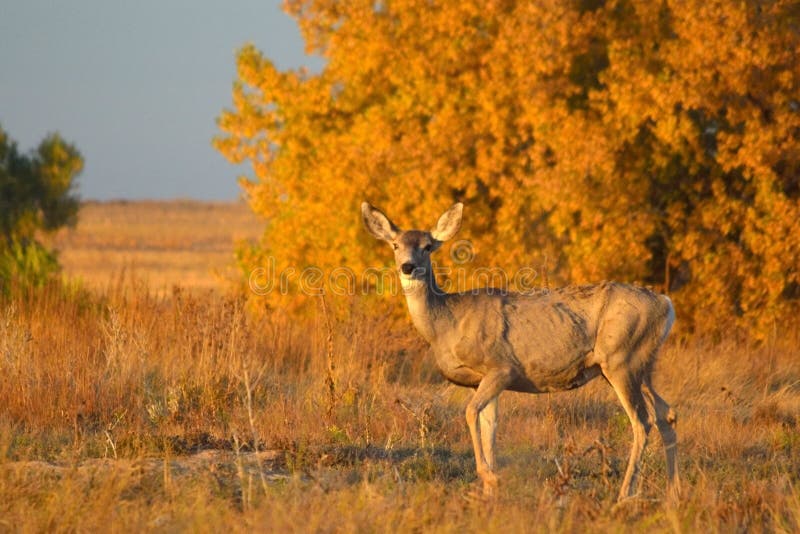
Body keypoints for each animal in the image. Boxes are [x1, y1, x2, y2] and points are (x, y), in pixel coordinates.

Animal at [361, 201, 680, 503]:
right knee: (666, 413)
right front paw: (489, 492)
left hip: (621, 359)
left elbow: (470, 412)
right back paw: (672, 493)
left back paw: (625, 494)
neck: (445, 324)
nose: (407, 266)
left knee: (642, 421)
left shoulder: (501, 367)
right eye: (395, 245)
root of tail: (666, 304)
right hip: (642, 363)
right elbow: (488, 424)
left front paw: (489, 478)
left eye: (427, 246)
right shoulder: (482, 380)